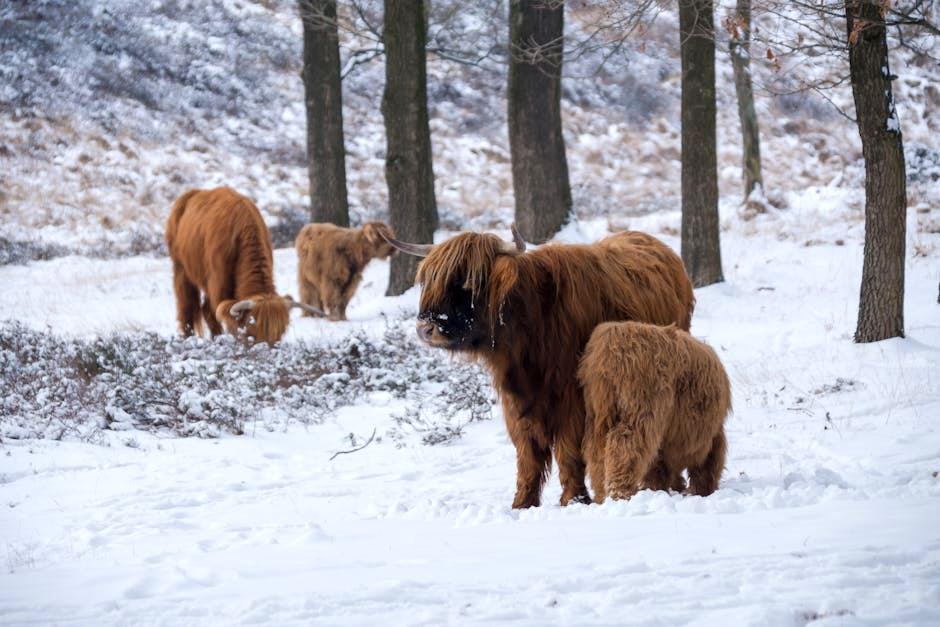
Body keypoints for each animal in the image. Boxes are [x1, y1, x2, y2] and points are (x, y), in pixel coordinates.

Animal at [164, 186, 320, 344]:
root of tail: (193, 193)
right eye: (252, 334)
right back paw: (189, 337)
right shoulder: (218, 284)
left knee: (205, 308)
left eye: (279, 335)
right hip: (181, 270)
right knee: (187, 306)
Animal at [378, 228, 692, 508]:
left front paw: (573, 500)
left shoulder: (571, 400)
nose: (426, 327)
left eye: (467, 283)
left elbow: (568, 451)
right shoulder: (517, 403)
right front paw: (522, 503)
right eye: (430, 280)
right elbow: (527, 454)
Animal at [576, 324, 732, 506]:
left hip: (599, 414)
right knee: (625, 447)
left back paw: (602, 496)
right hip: (641, 411)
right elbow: (707, 463)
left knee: (596, 453)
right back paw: (621, 494)